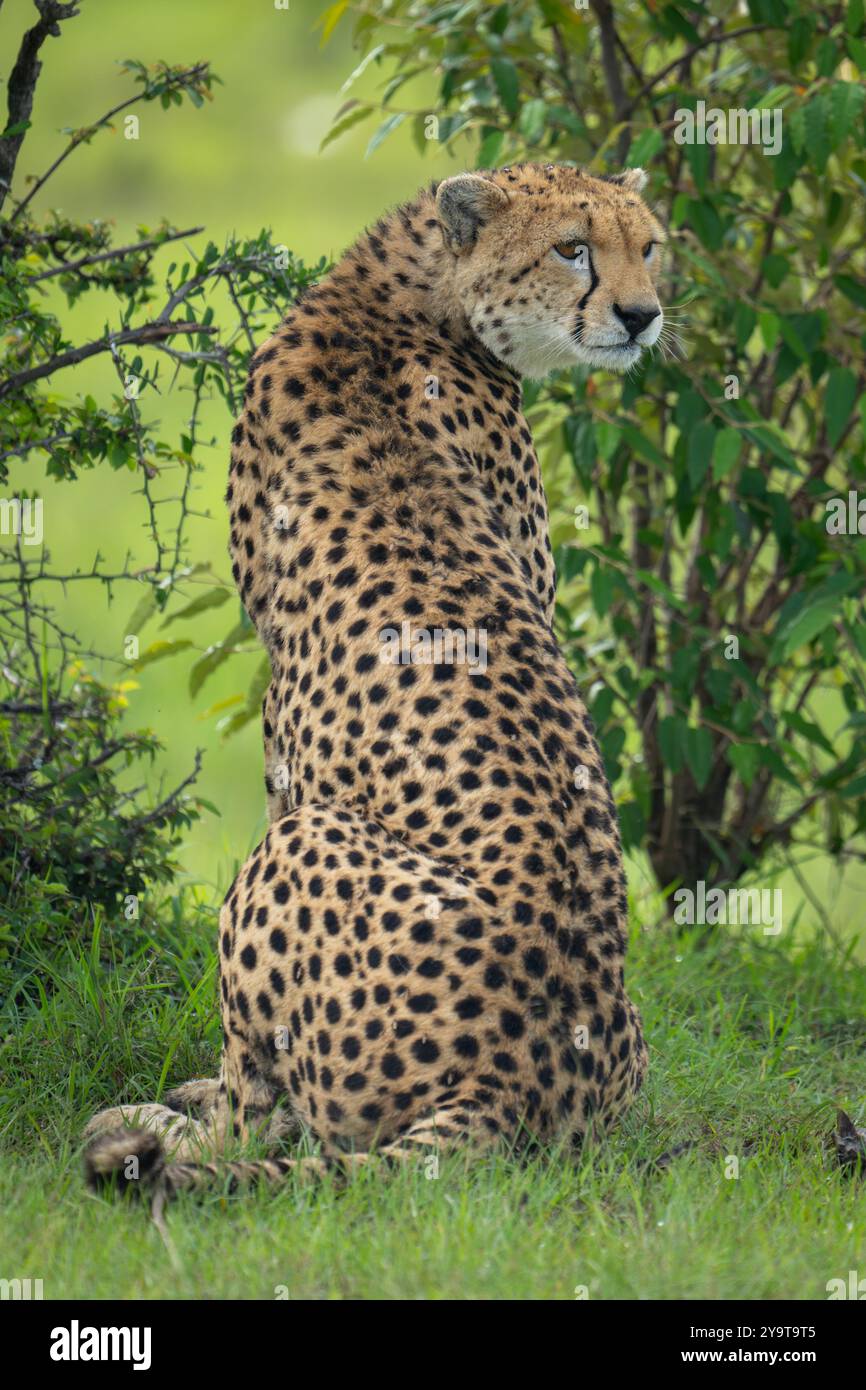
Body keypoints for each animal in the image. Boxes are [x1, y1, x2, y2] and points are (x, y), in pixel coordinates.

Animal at [85, 163, 666, 1197]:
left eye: (650, 246)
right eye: (573, 248)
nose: (643, 316)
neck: (419, 291)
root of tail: (521, 1080)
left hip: (294, 851)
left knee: (247, 1123)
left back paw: (168, 1118)